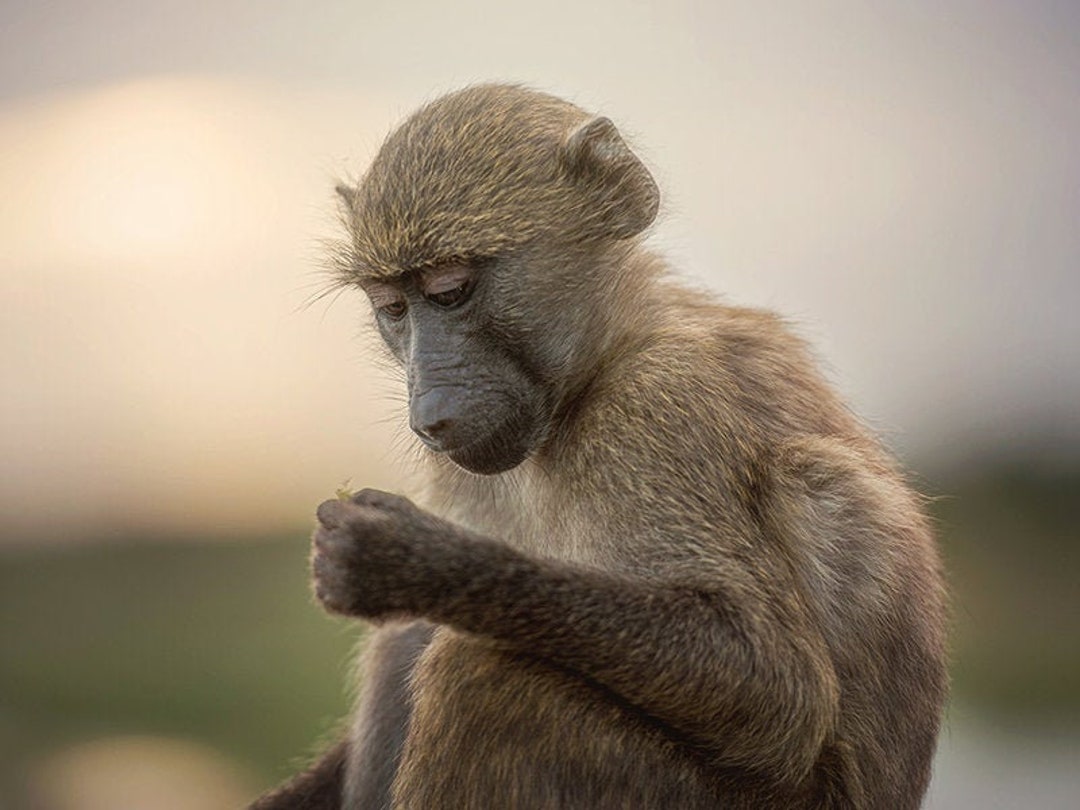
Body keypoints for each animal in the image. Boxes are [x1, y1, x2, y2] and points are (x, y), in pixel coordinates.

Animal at [251, 84, 948, 809]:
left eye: (451, 290)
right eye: (392, 307)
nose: (430, 416)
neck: (599, 367)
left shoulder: (656, 407)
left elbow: (777, 686)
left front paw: (408, 559)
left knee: (481, 679)